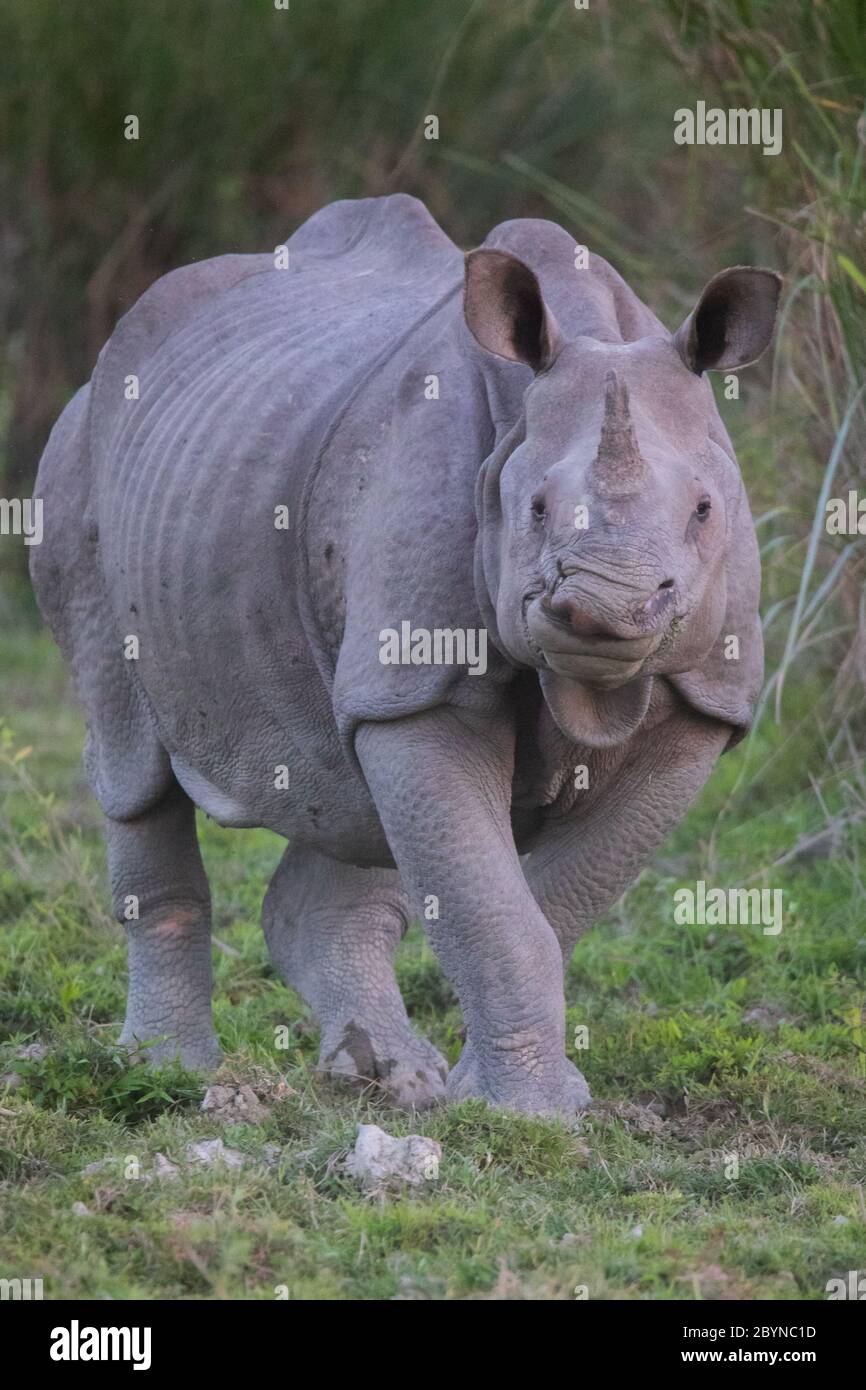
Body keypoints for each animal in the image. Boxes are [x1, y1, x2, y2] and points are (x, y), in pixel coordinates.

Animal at [31, 195, 780, 1113]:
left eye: (707, 510)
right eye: (535, 509)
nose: (606, 605)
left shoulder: (700, 703)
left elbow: (556, 900)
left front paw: (499, 1096)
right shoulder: (423, 678)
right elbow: (496, 908)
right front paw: (529, 1114)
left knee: (345, 785)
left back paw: (388, 1077)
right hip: (77, 461)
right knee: (134, 764)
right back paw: (167, 1074)